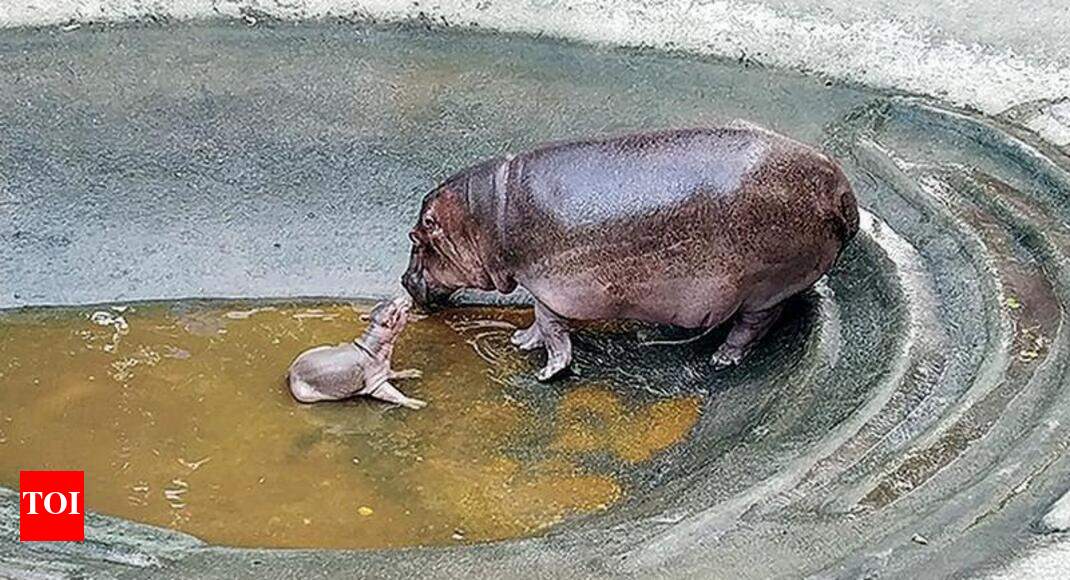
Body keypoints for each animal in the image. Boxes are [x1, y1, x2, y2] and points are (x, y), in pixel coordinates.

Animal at [288, 295, 426, 409]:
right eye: (394, 310)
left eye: (386, 301)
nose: (407, 298)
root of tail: (291, 370)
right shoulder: (375, 382)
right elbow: (393, 393)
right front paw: (417, 403)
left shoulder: (384, 369)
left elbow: (393, 373)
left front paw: (413, 372)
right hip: (306, 395)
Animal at [401, 125, 859, 381]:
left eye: (415, 237)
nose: (405, 281)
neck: (486, 215)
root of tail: (841, 194)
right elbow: (539, 325)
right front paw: (520, 341)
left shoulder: (549, 288)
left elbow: (550, 326)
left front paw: (549, 370)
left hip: (762, 288)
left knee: (754, 324)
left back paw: (721, 359)